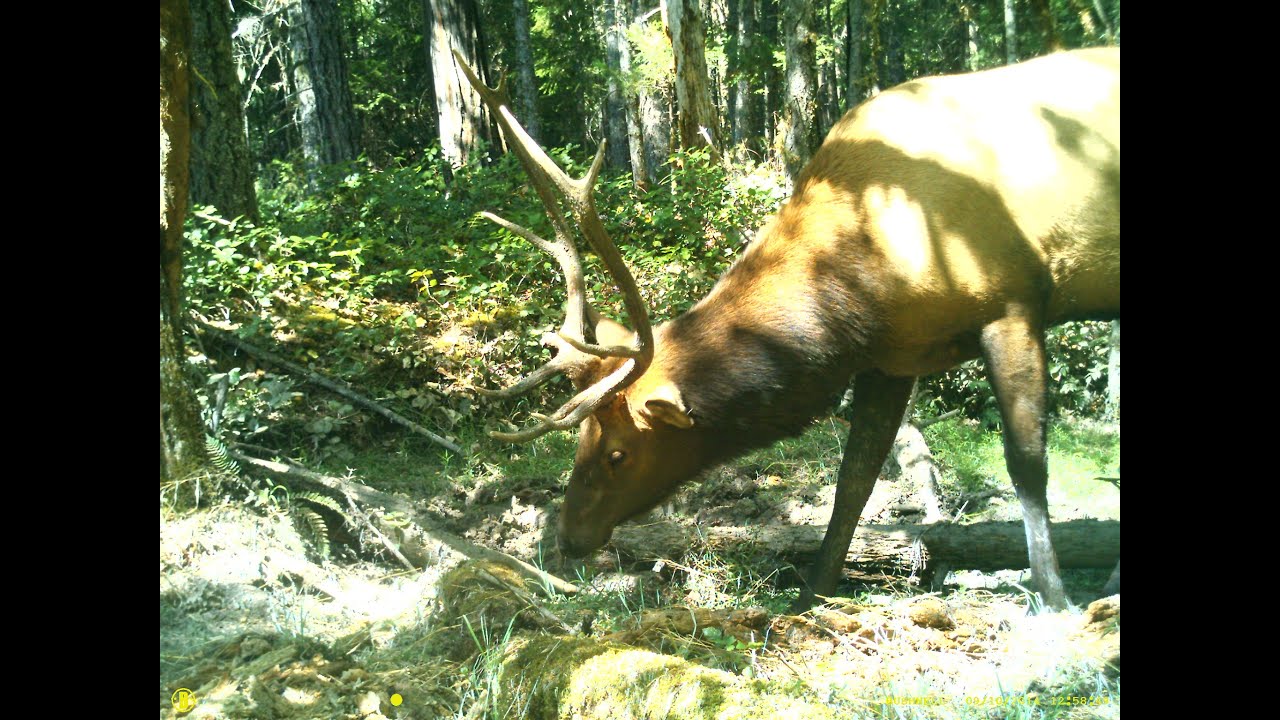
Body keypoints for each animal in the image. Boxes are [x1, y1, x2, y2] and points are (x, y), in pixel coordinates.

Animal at [456, 46, 1119, 611]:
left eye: (618, 452)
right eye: (580, 441)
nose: (566, 538)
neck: (867, 280)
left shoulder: (1013, 303)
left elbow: (1026, 462)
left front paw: (1054, 598)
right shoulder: (891, 356)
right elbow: (854, 478)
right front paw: (811, 592)